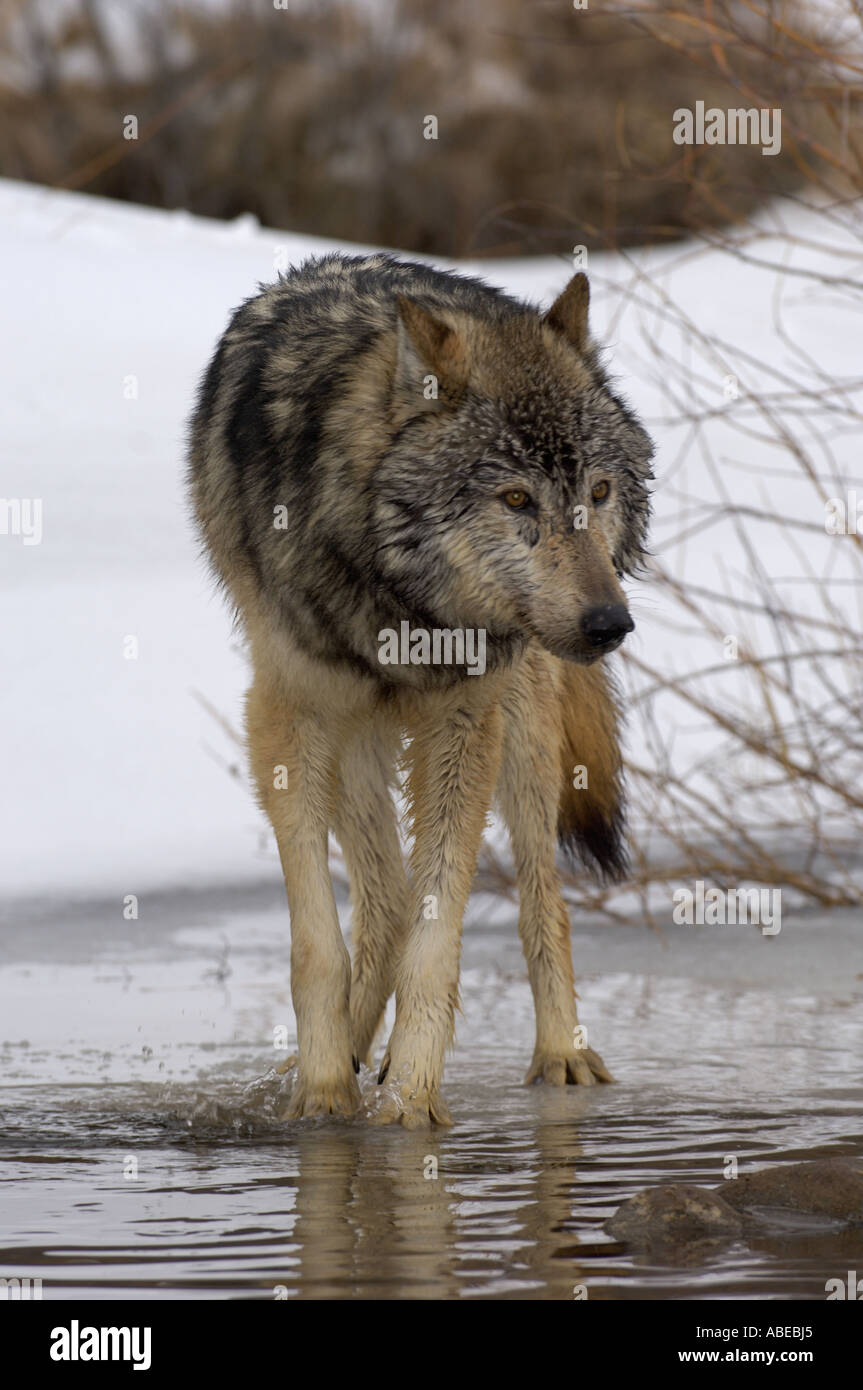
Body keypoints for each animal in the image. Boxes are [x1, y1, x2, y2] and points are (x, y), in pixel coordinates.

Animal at [187, 252, 653, 1128]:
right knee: (385, 899)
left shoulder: (463, 719)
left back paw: (562, 1056)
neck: (396, 593)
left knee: (541, 897)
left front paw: (406, 1100)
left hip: (521, 726)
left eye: (599, 492)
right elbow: (319, 945)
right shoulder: (288, 716)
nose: (610, 623)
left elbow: (436, 941)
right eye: (516, 499)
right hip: (356, 735)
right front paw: (323, 1093)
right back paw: (339, 1053)